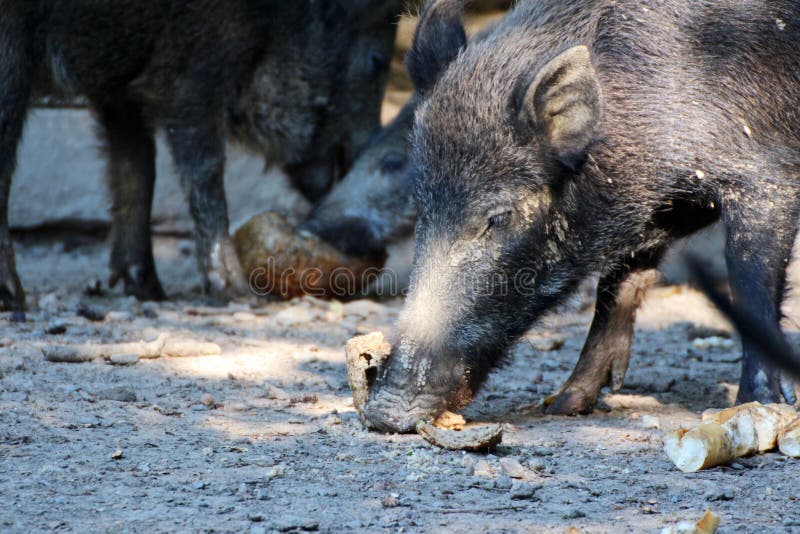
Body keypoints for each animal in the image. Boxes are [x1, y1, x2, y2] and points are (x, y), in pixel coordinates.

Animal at [0, 0, 401, 310]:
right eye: (377, 61)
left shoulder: (122, 93)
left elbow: (136, 170)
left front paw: (150, 292)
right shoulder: (195, 78)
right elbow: (205, 171)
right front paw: (240, 294)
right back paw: (13, 299)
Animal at [365, 0, 800, 432]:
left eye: (498, 217)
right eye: (422, 205)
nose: (382, 415)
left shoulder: (768, 178)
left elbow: (750, 286)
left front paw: (757, 405)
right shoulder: (655, 211)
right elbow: (617, 285)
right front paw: (564, 404)